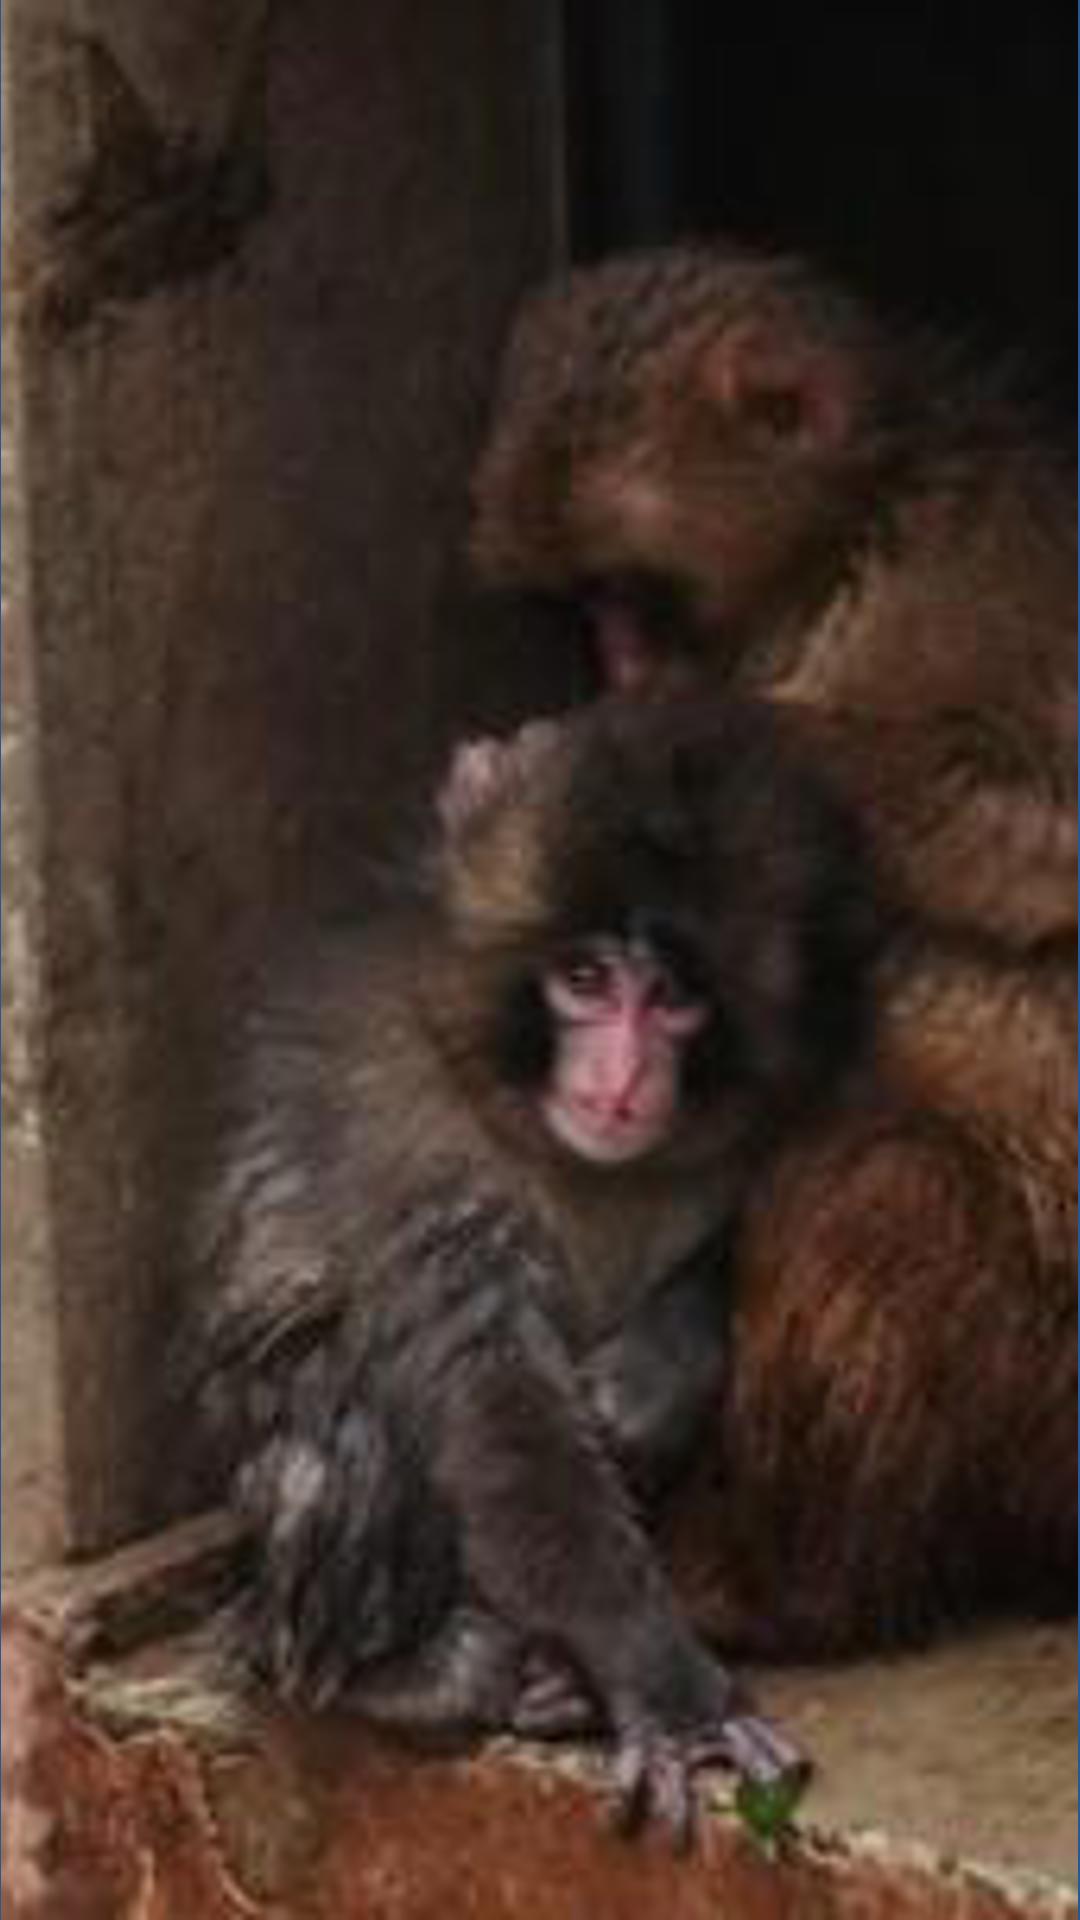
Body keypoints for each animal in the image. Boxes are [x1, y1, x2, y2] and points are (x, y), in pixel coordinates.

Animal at [188, 693, 877, 1843]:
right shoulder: (417, 1145)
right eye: (587, 980)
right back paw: (421, 1678)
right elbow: (500, 1413)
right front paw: (666, 1686)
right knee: (340, 1422)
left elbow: (718, 1253)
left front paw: (652, 1380)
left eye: (674, 997)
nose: (624, 1075)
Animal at [467, 240, 1077, 1656]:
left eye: (637, 593)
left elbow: (1041, 842)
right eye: (587, 603)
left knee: (882, 1188)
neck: (852, 547)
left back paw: (770, 1581)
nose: (618, 661)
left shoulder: (967, 585)